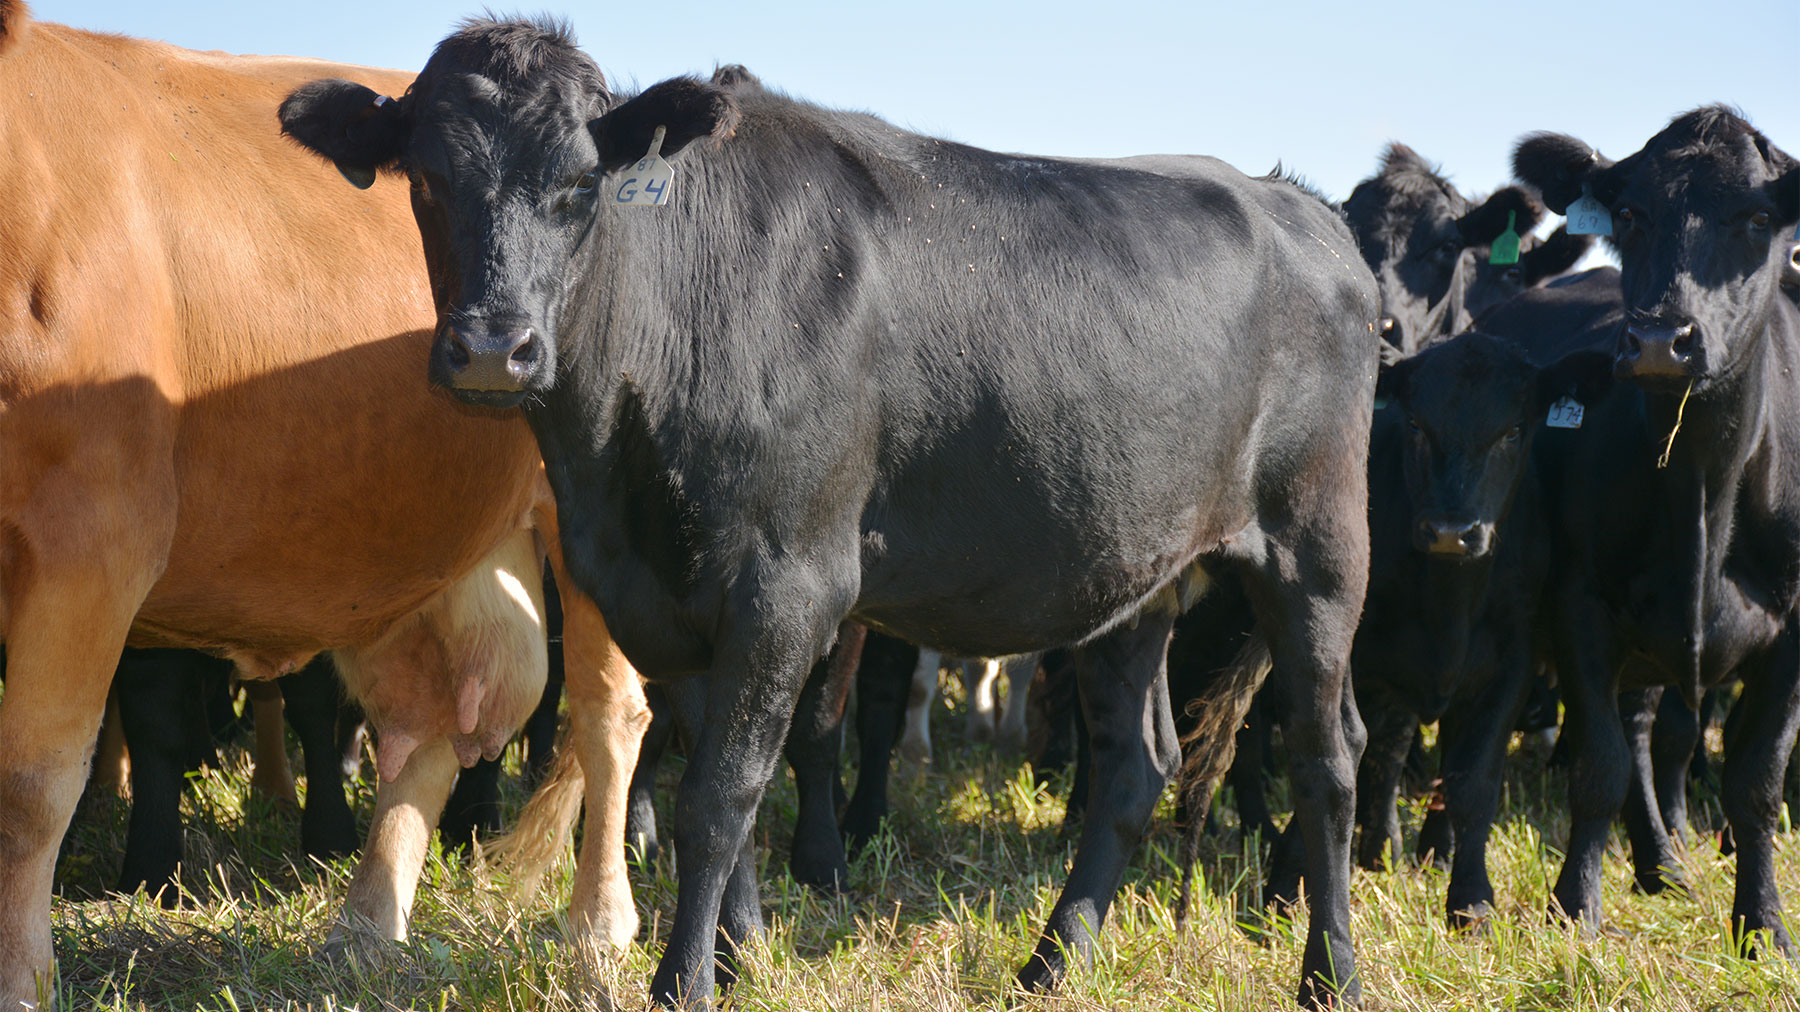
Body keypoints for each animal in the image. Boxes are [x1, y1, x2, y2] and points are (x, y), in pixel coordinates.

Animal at [0, 9, 647, 1006]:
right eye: (425, 182)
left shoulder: (92, 540)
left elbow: (32, 787)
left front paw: (21, 978)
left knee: (609, 714)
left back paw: (596, 935)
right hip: (405, 544)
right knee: (429, 720)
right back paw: (365, 923)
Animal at [281, 17, 1380, 1007]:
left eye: (580, 185)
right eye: (425, 180)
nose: (491, 348)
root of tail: (1297, 203)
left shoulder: (787, 583)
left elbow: (719, 798)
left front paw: (684, 984)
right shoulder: (669, 593)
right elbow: (723, 789)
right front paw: (741, 960)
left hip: (1318, 547)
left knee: (1328, 758)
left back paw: (1330, 975)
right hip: (1134, 573)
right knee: (1134, 770)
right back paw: (1048, 966)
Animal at [1512, 105, 1800, 954]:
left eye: (1759, 217)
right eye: (1632, 214)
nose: (1658, 342)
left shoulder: (1796, 632)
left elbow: (1756, 781)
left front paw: (1763, 925)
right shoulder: (1579, 605)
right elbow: (1600, 766)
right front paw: (1574, 908)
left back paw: (1664, 866)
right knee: (1634, 737)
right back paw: (1655, 864)